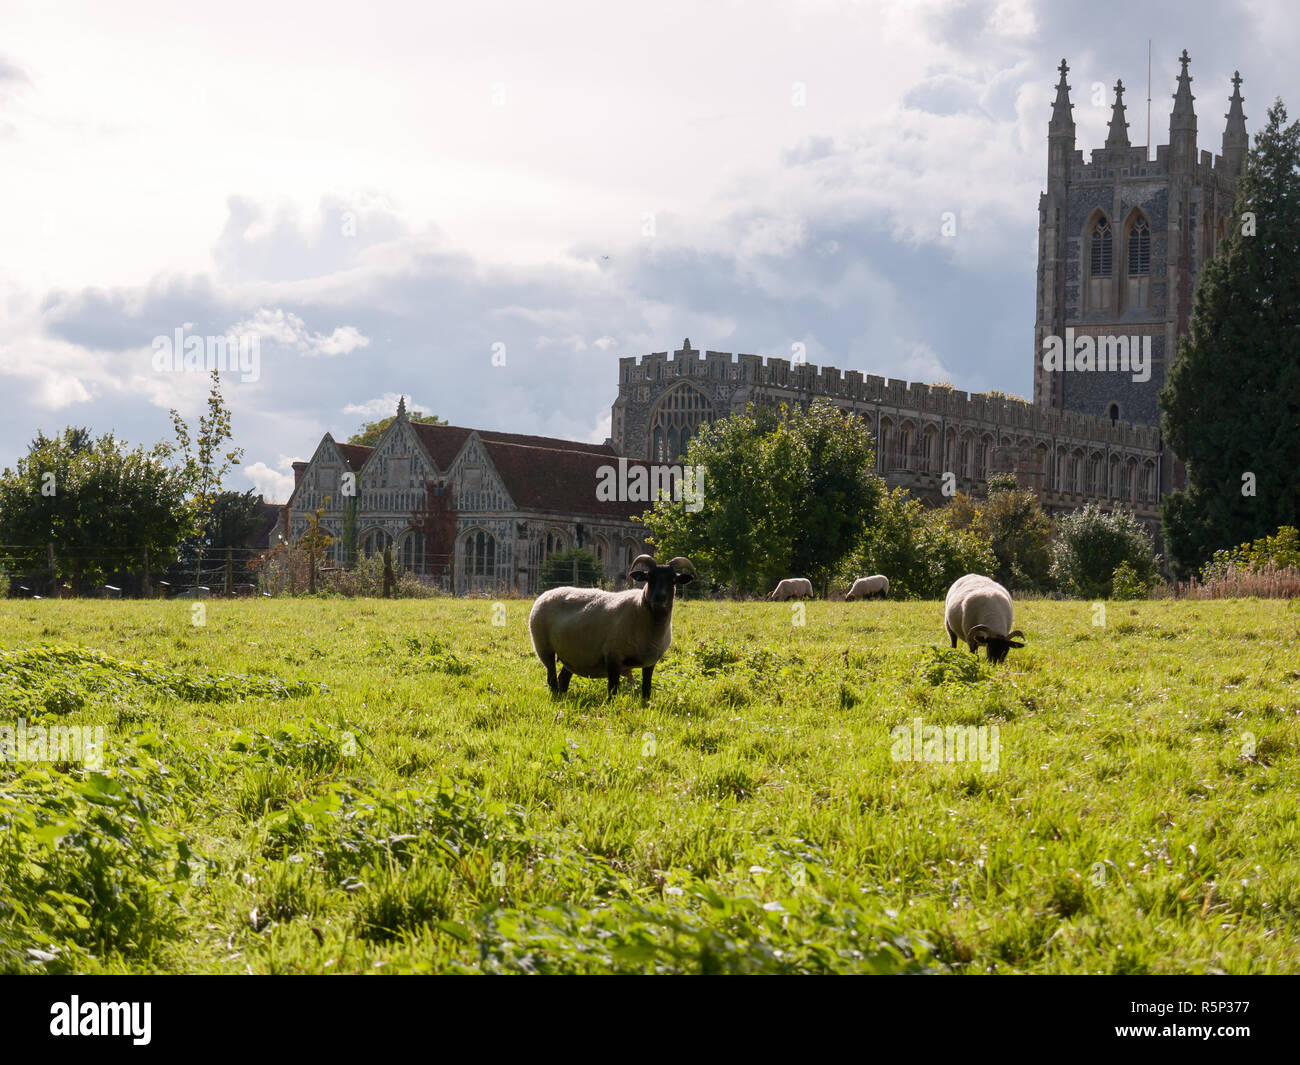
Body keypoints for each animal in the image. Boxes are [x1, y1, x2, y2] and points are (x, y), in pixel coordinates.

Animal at [528, 554, 695, 700]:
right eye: (649, 577)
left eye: (673, 579)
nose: (659, 597)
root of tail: (547, 593)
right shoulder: (613, 656)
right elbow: (613, 689)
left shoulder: (650, 663)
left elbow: (646, 690)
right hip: (544, 648)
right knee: (552, 679)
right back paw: (556, 696)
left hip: (572, 654)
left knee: (563, 678)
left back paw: (563, 696)